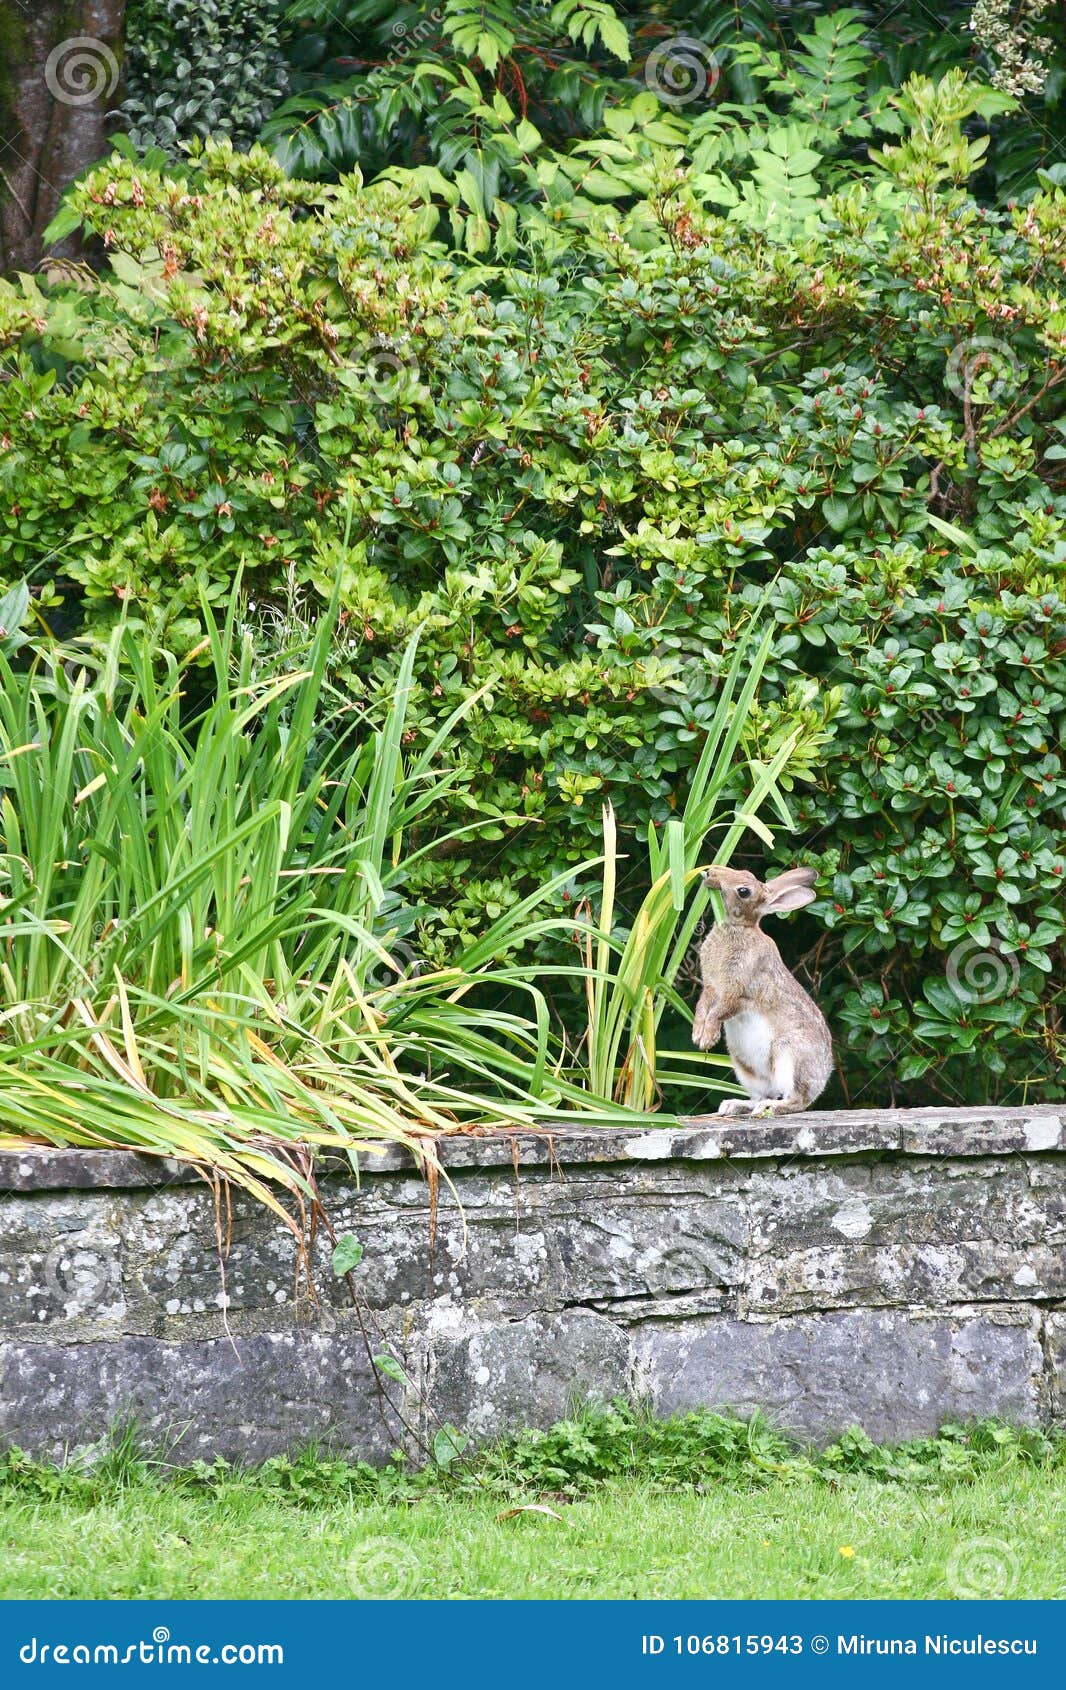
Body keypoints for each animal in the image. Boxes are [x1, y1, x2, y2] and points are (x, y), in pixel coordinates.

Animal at [691, 865, 832, 1116]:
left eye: (744, 891)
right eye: (744, 871)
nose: (711, 872)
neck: (737, 928)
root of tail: (822, 1081)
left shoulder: (738, 992)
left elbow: (720, 1011)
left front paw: (707, 1039)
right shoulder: (710, 987)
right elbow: (702, 1006)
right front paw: (698, 1033)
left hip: (788, 1056)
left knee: (795, 1100)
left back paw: (770, 1107)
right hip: (744, 1066)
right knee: (761, 1094)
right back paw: (733, 1105)